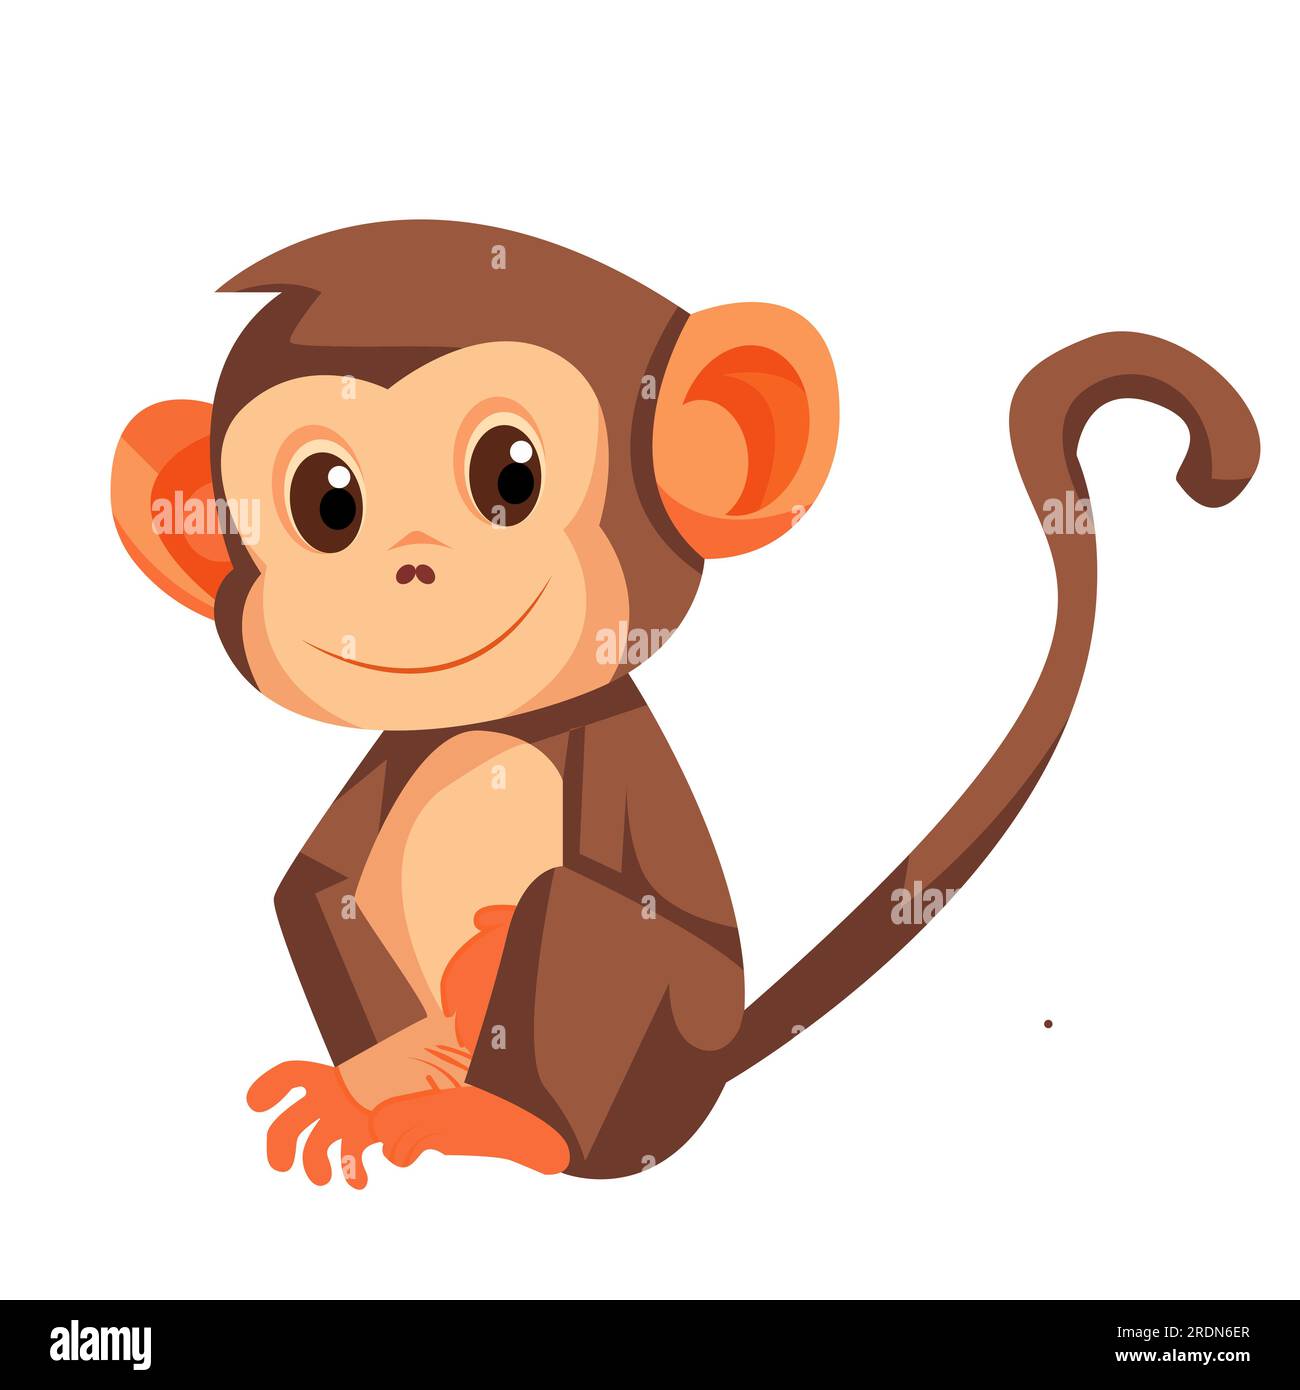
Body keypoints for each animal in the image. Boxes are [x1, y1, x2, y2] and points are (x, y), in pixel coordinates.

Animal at [111, 221, 1259, 1186]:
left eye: (510, 474)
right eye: (327, 502)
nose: (413, 566)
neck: (488, 729)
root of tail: (708, 1067)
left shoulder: (608, 758)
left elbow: (624, 906)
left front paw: (478, 983)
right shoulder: (395, 757)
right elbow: (316, 884)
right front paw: (380, 1074)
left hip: (654, 1059)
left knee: (576, 912)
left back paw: (507, 1116)